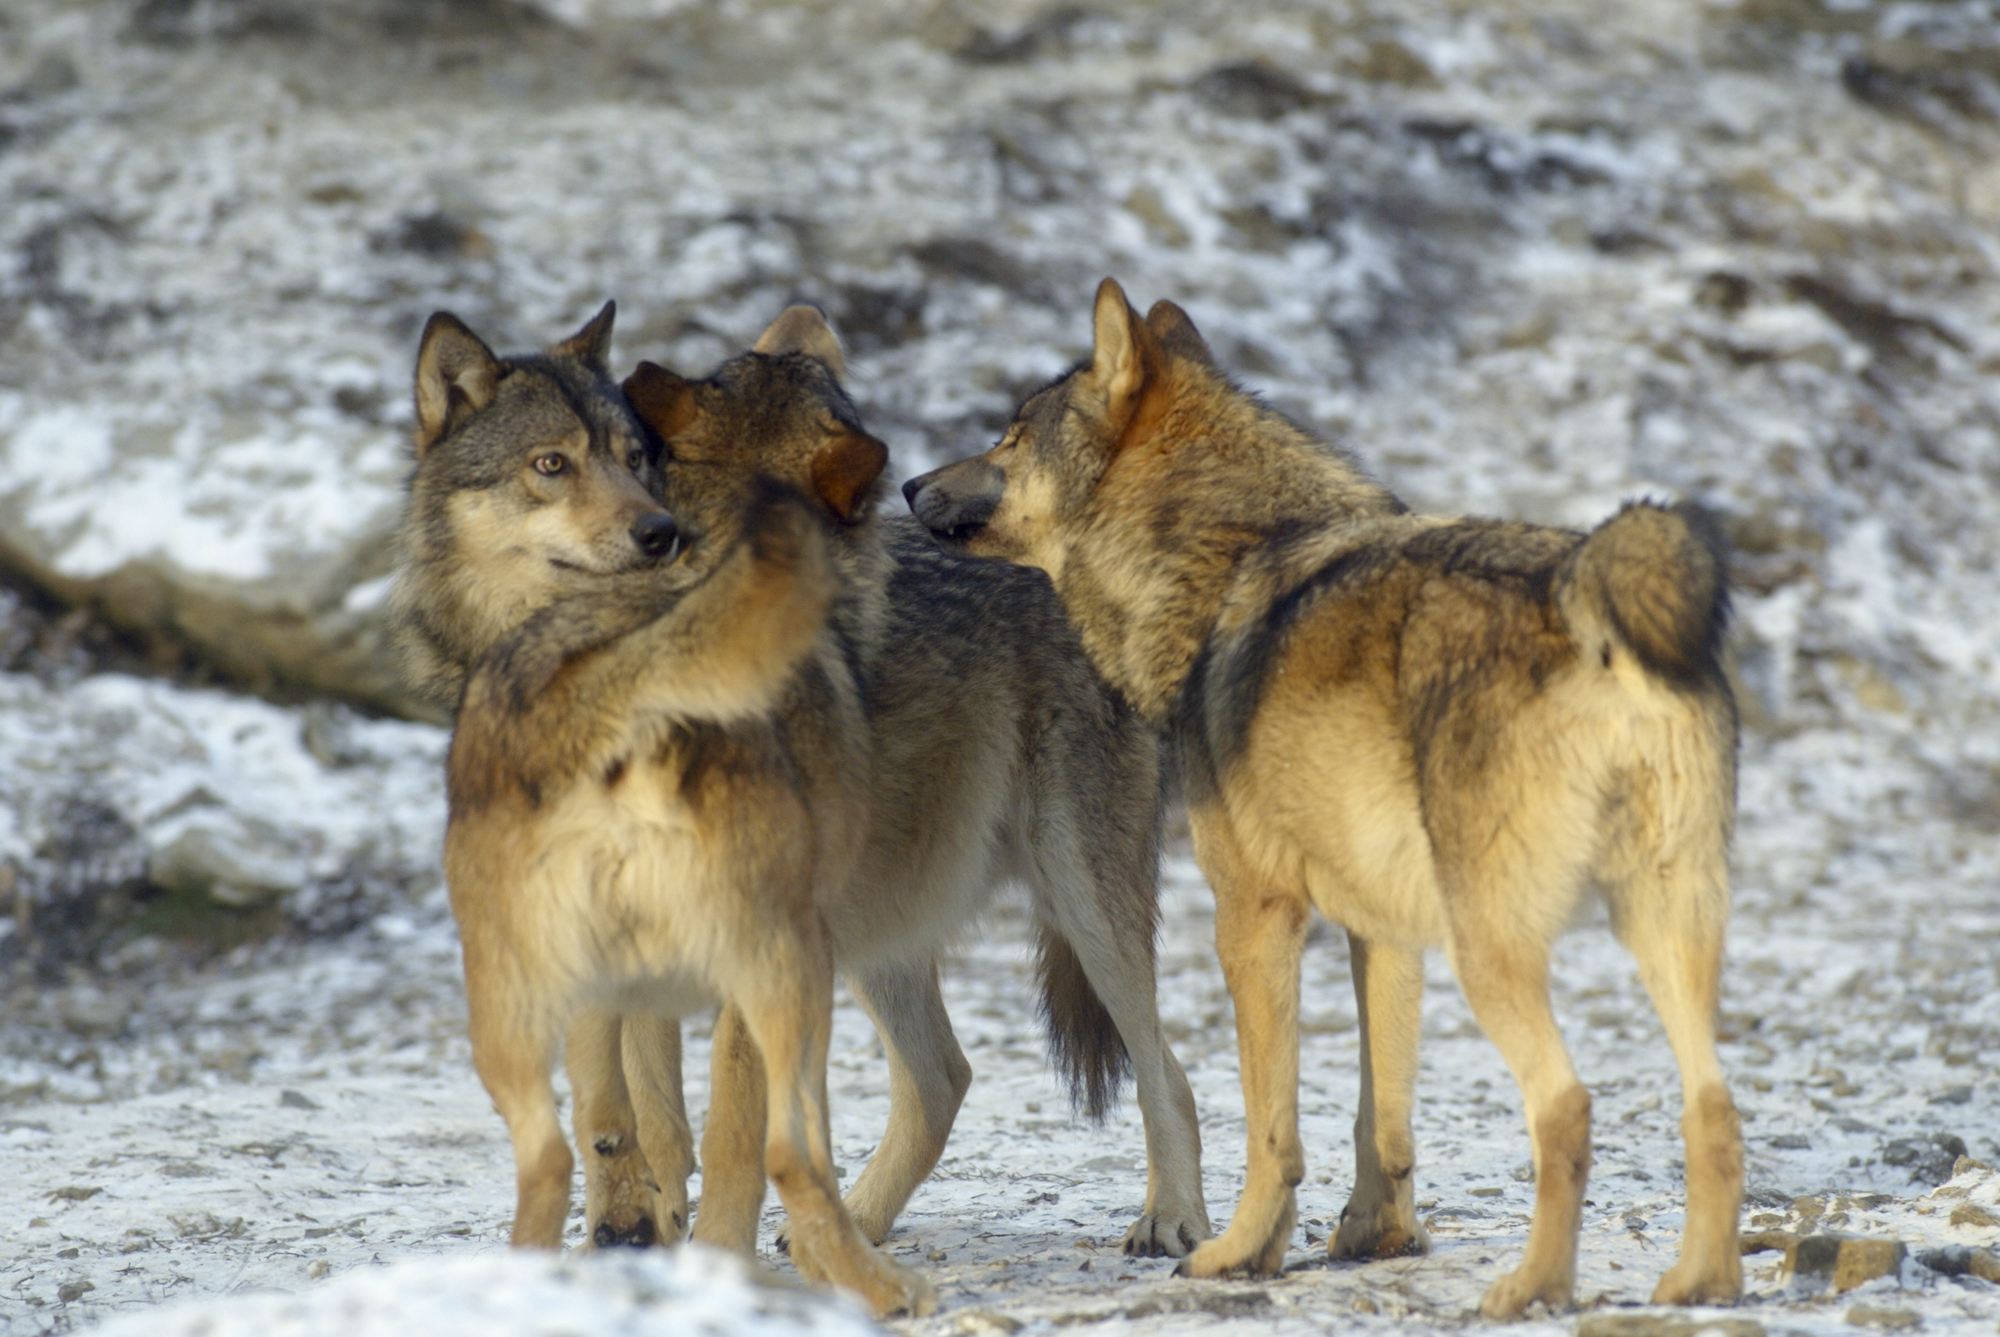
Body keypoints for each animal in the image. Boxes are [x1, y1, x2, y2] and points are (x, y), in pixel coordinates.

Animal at [393, 307, 933, 1316]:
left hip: (505, 1004)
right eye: (551, 464)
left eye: (633, 454)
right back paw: (871, 1288)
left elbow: (632, 1106)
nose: (656, 531)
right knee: (786, 1152)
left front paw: (636, 1218)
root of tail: (618, 687)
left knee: (546, 1160)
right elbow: (738, 1140)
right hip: (788, 973)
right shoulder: (788, 954)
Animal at [596, 306, 1209, 1262]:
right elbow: (659, 1113)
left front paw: (715, 1261)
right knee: (943, 1077)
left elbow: (733, 1133)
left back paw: (1173, 1217)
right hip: (877, 929)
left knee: (1165, 1068)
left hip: (1078, 895)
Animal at [905, 279, 1744, 1318]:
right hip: (1660, 925)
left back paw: (1533, 1287)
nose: (908, 485)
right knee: (1714, 1102)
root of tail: (1588, 591)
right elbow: (1379, 1113)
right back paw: (1700, 1282)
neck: (1225, 556)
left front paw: (1239, 1251)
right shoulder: (1379, 927)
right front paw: (1374, 1236)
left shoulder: (1255, 912)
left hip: (1493, 948)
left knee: (1566, 1104)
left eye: (1011, 435)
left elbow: (1273, 1123)